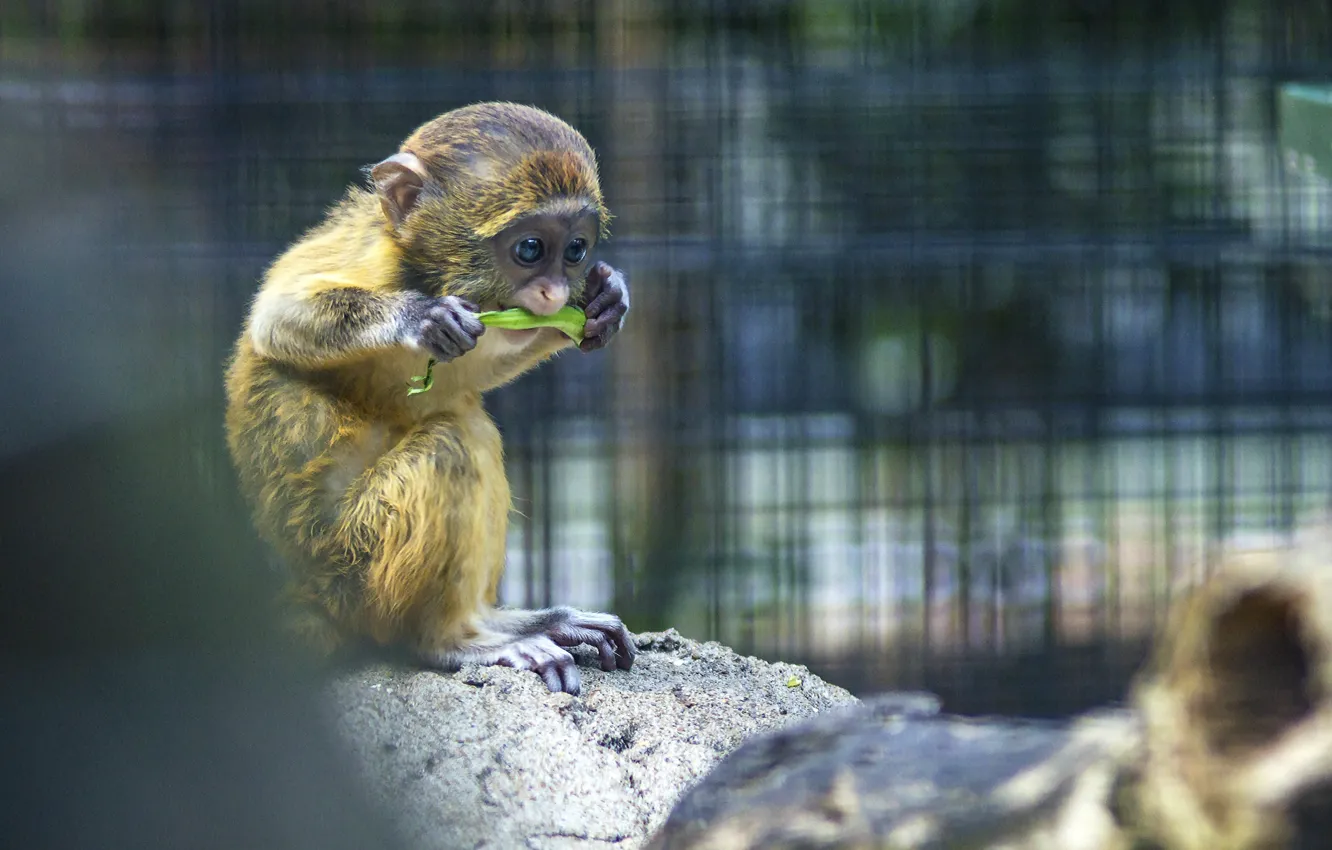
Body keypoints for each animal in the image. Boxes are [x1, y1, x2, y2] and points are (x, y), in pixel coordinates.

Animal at [223, 102, 636, 695]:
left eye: (575, 250)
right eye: (530, 249)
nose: (556, 293)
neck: (427, 272)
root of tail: (315, 593)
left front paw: (606, 299)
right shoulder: (372, 258)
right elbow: (276, 319)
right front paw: (419, 318)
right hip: (356, 566)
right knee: (453, 444)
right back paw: (450, 639)